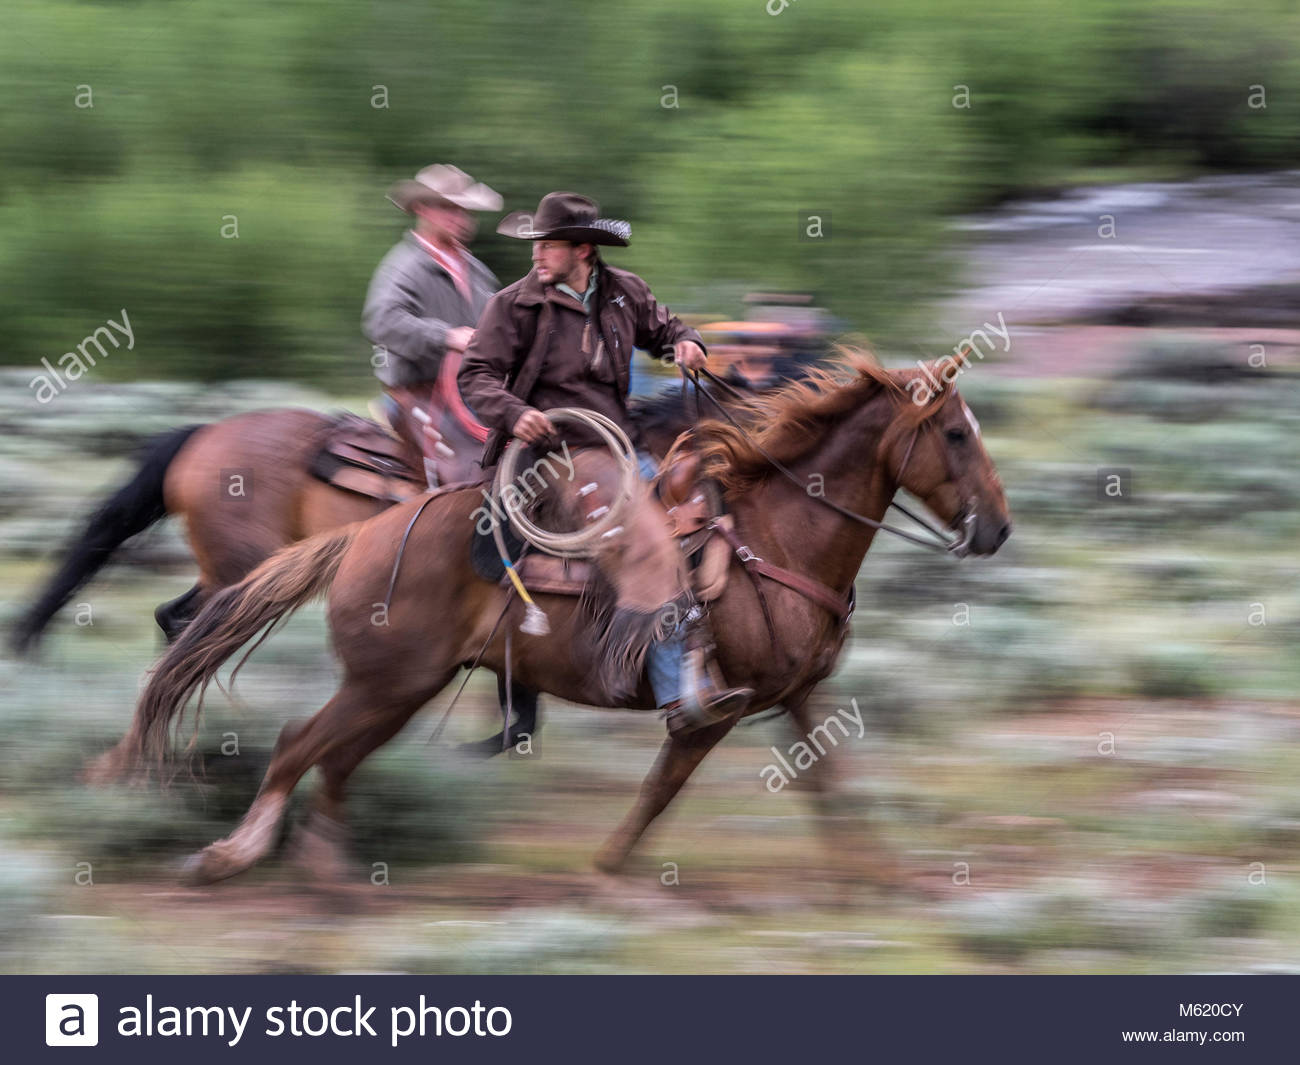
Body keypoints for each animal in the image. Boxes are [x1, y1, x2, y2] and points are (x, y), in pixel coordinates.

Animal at [88, 351, 1010, 885]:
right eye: (956, 434)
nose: (998, 528)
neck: (776, 532)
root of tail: (362, 534)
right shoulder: (716, 709)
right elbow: (662, 788)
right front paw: (608, 865)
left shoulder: (794, 694)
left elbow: (831, 782)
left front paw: (875, 869)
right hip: (387, 680)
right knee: (297, 744)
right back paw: (237, 852)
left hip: (397, 688)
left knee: (330, 755)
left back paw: (326, 863)